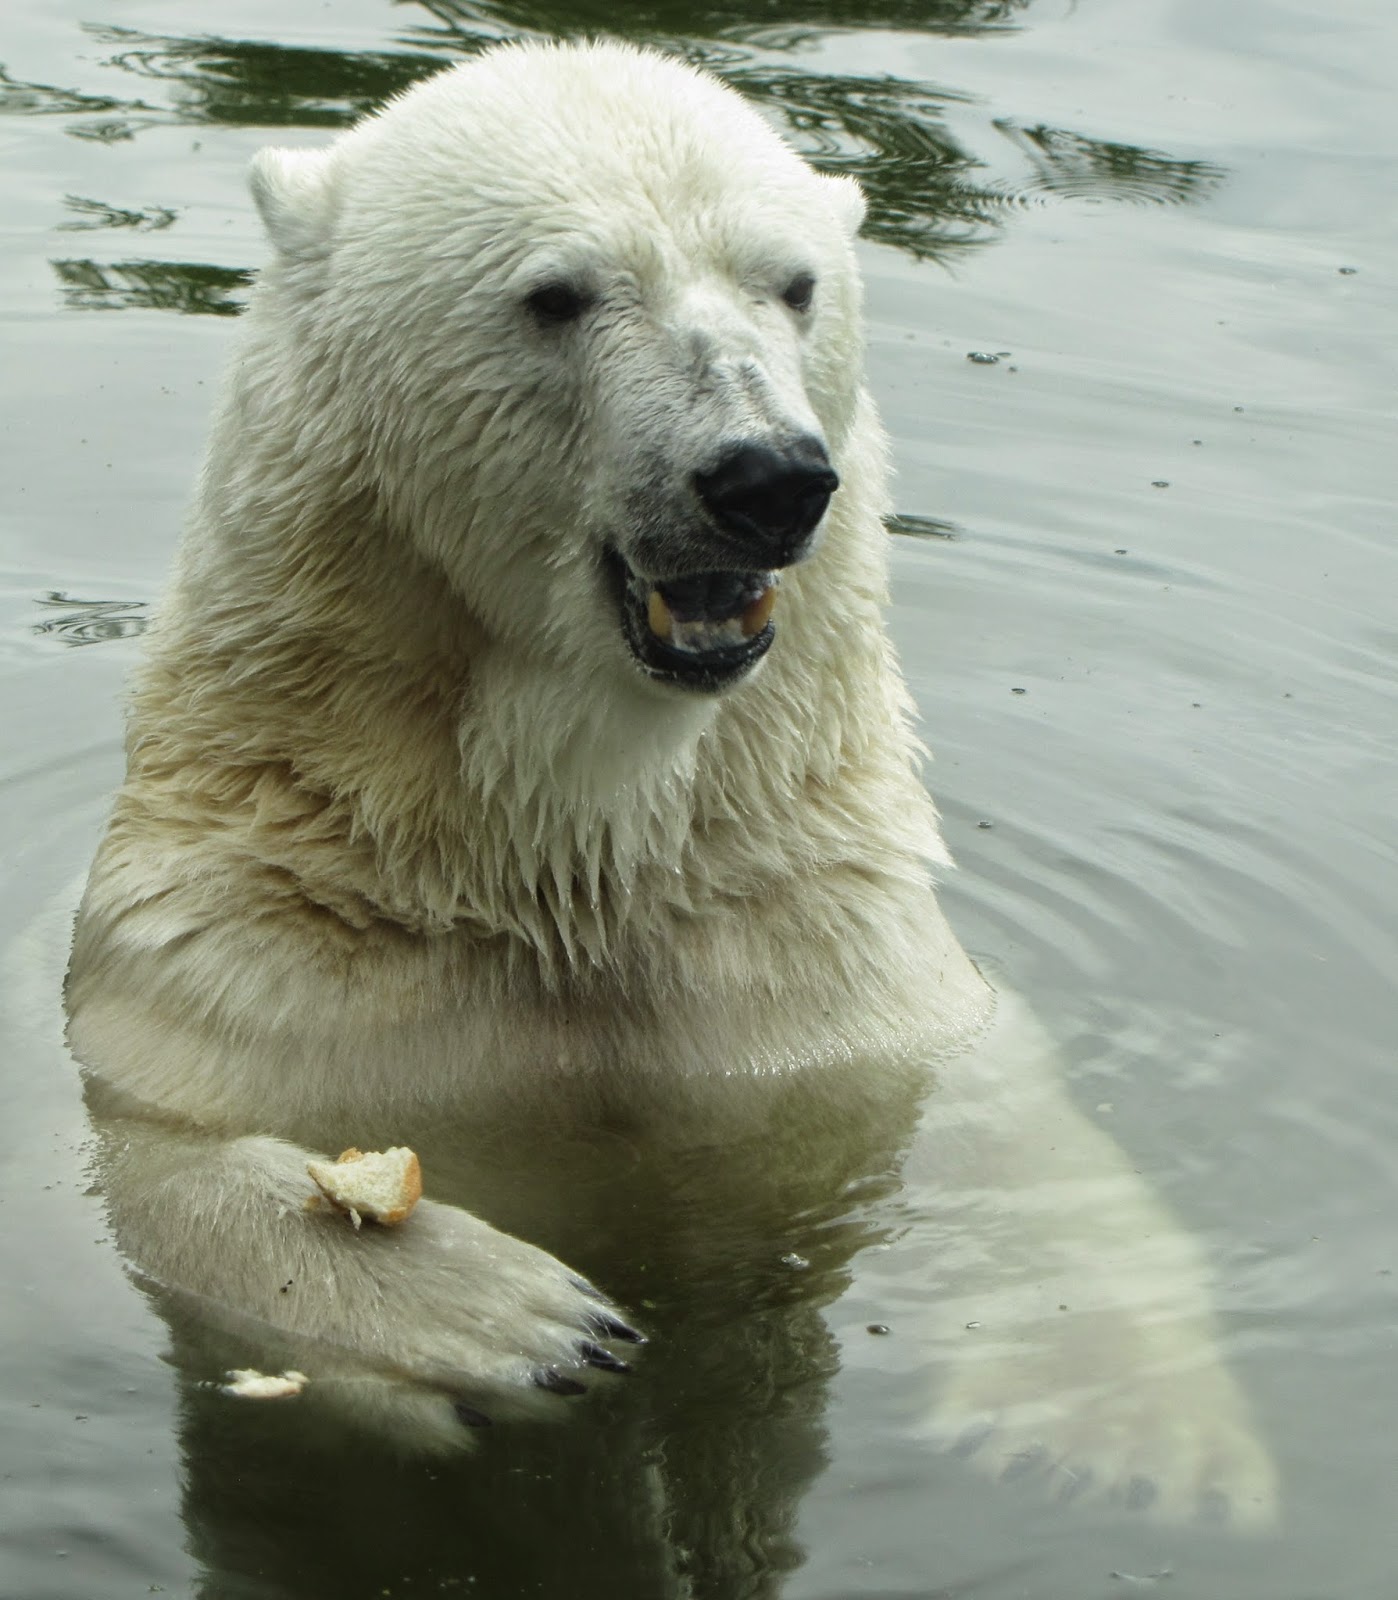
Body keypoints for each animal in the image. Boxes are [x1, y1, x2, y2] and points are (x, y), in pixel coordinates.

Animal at [65, 38, 1275, 1562]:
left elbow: (1016, 1130)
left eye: (793, 281)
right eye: (558, 292)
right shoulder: (255, 950)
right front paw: (519, 1316)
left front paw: (1134, 1427)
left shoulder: (807, 961)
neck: (565, 853)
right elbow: (145, 1167)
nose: (763, 476)